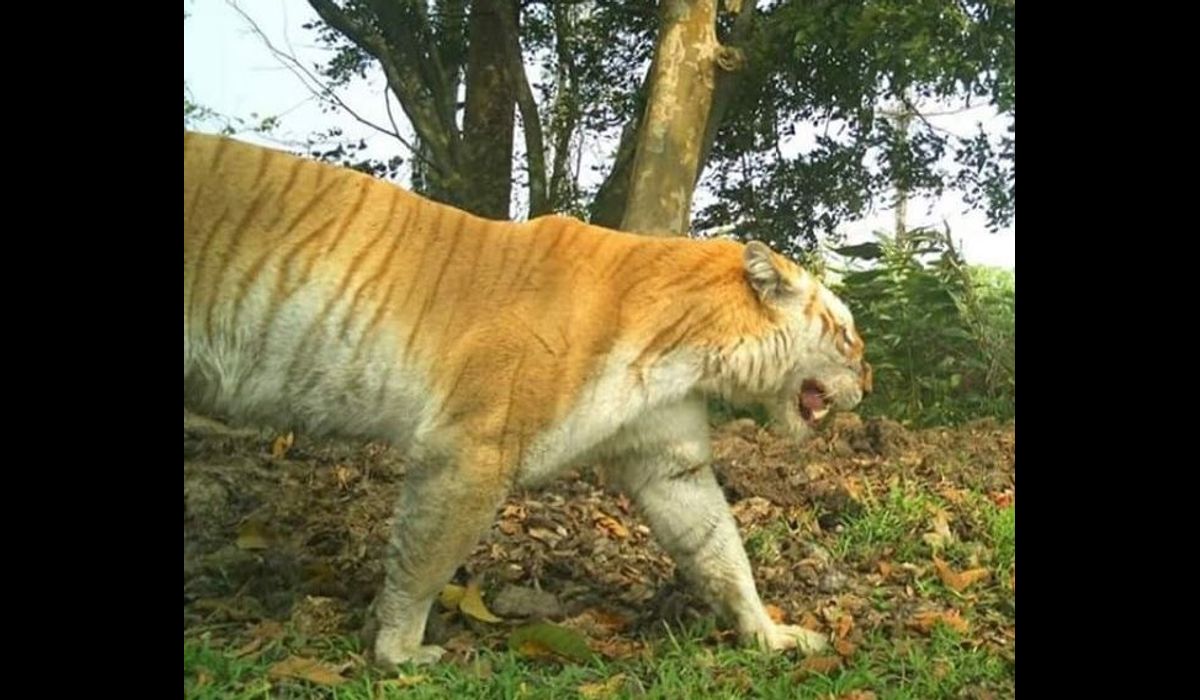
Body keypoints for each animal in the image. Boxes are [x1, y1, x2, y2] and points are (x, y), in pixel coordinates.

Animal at [182, 128, 873, 667]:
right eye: (847, 337)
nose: (868, 384)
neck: (691, 346)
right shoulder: (472, 449)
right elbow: (426, 558)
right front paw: (400, 651)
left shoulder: (668, 460)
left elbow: (719, 547)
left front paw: (770, 634)